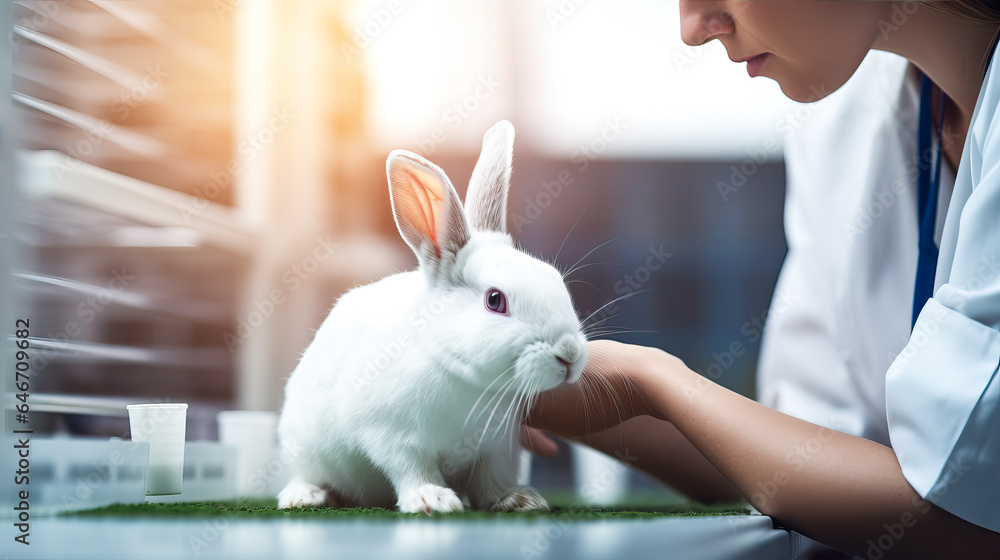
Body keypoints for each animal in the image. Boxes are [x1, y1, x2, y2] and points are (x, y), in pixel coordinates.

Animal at [275, 120, 587, 514]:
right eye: (495, 300)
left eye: (556, 278)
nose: (570, 355)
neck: (467, 379)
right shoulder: (393, 435)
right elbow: (412, 468)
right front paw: (432, 500)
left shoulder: (495, 448)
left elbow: (491, 480)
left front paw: (519, 500)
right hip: (303, 446)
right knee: (306, 474)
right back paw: (304, 497)